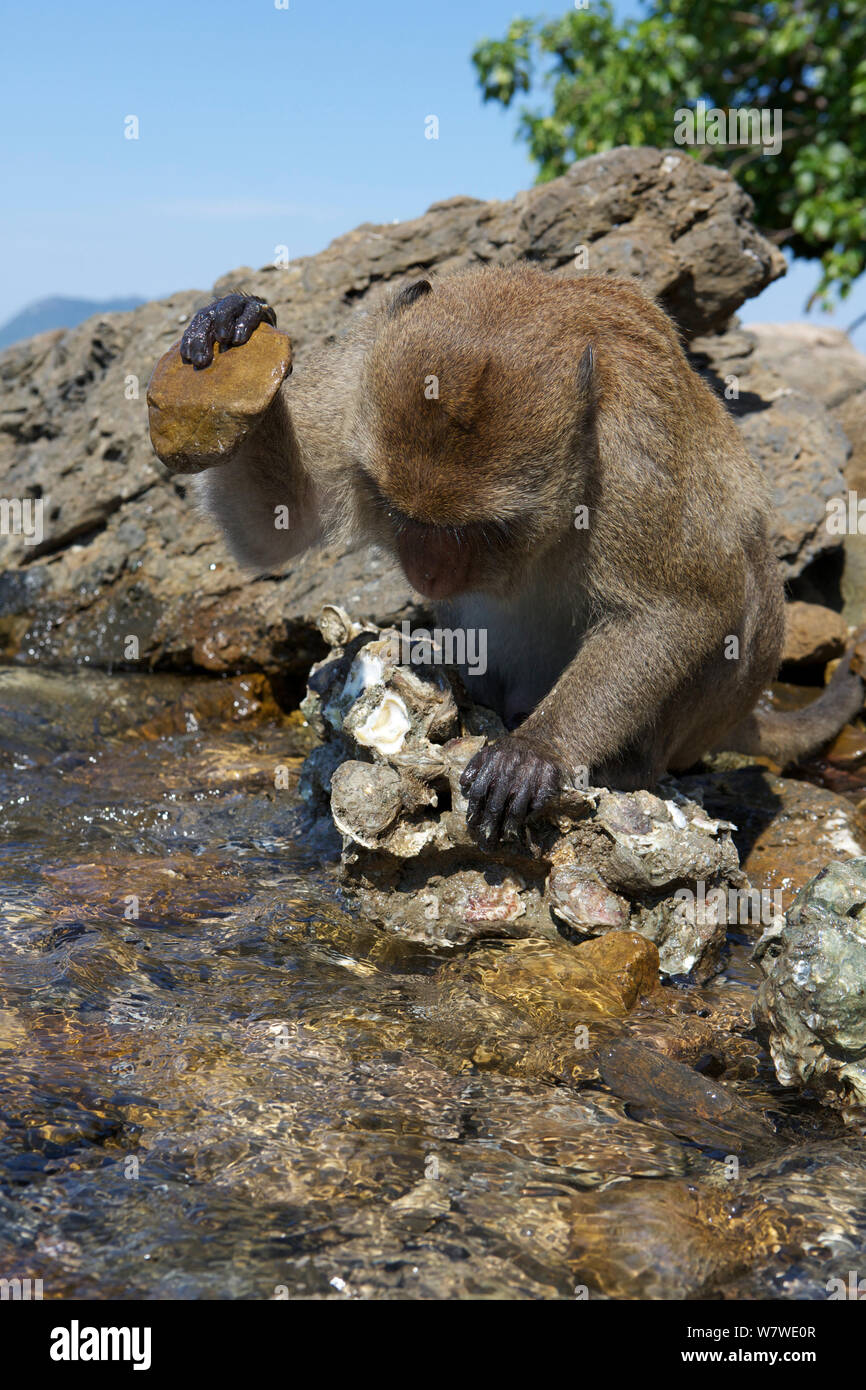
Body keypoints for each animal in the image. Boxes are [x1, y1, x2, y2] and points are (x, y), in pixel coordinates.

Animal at [170, 265, 864, 845]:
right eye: (398, 512)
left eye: (479, 530)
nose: (426, 570)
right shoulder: (356, 382)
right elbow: (279, 527)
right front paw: (233, 324)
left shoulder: (637, 451)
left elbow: (681, 606)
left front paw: (540, 751)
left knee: (736, 580)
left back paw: (623, 764)